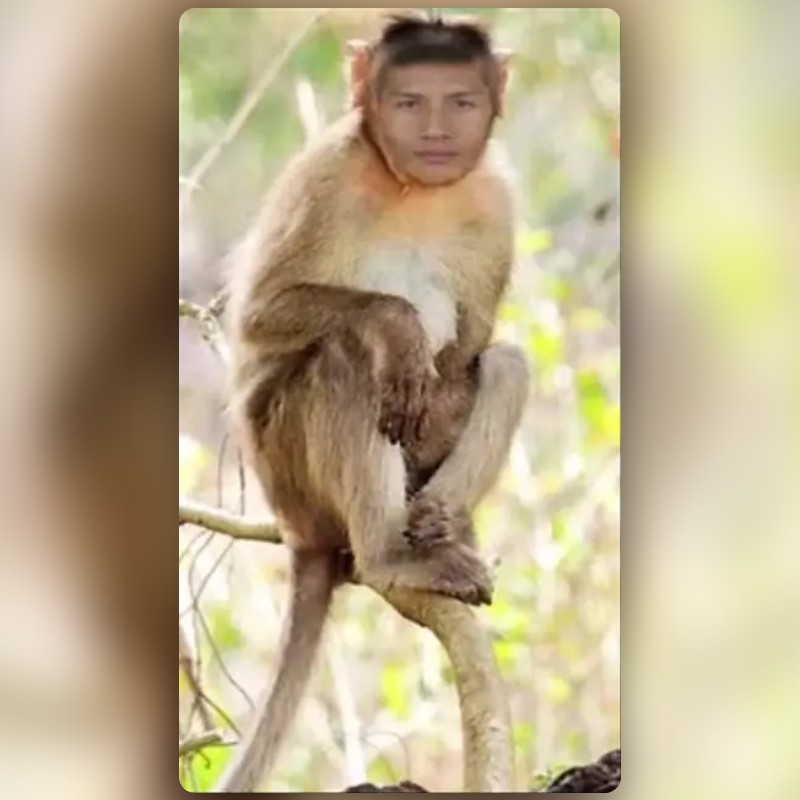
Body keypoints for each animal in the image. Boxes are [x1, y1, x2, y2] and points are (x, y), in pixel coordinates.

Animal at [218, 12, 529, 791]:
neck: (414, 189)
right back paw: (392, 553)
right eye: (409, 100)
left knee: (504, 364)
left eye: (459, 99)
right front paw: (397, 326)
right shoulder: (325, 175)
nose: (437, 131)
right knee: (344, 361)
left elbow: (473, 345)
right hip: (289, 470)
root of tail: (299, 530)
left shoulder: (495, 197)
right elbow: (260, 316)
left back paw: (438, 524)